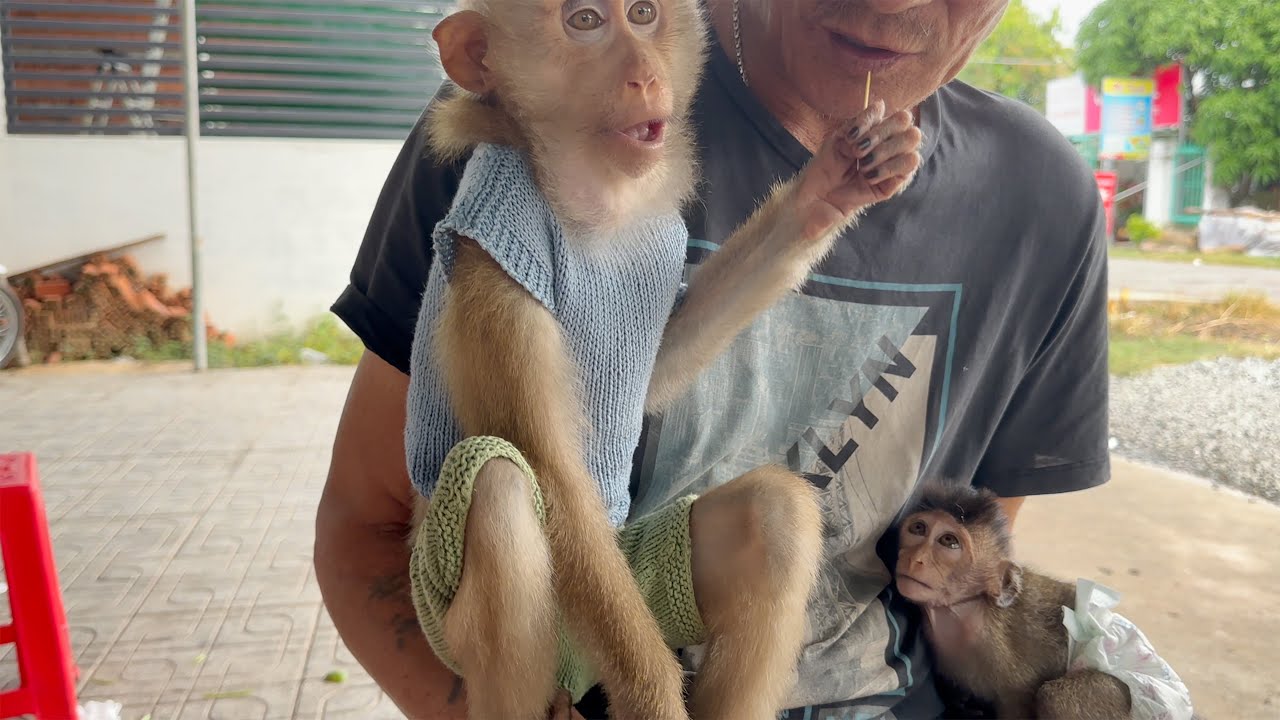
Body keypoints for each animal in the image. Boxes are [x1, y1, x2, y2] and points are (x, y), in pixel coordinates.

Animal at [893, 483, 1146, 720]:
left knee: (1056, 697)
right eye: (918, 528)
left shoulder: (1007, 664)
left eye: (948, 541)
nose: (915, 559)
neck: (968, 610)